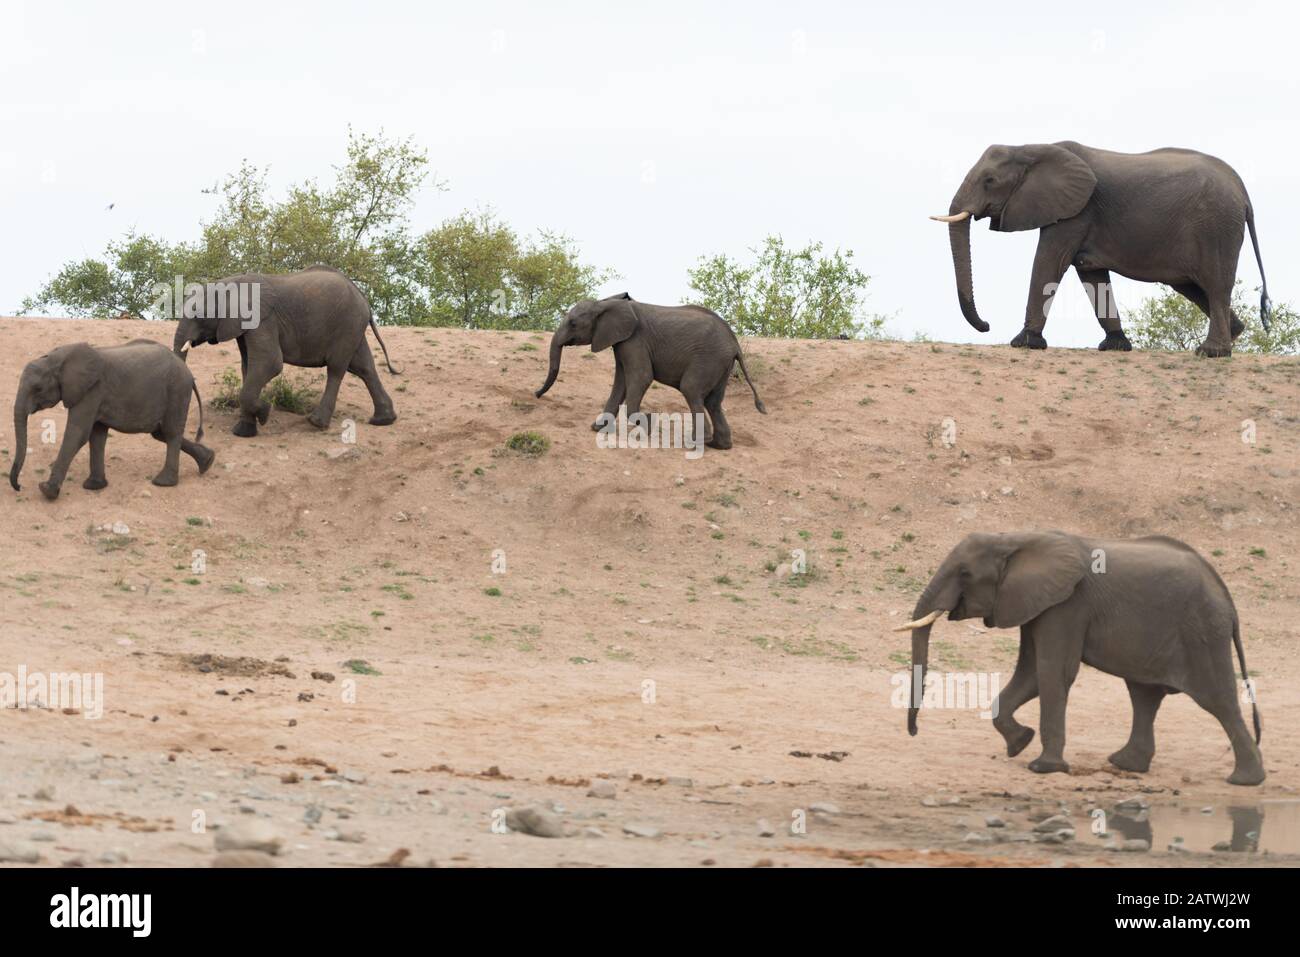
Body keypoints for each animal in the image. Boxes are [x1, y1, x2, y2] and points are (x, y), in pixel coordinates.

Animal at [10, 339, 215, 500]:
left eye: (37, 389)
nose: (19, 487)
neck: (57, 359)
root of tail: (189, 373)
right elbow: (96, 436)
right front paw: (94, 486)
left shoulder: (92, 390)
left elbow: (77, 434)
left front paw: (47, 491)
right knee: (160, 433)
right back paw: (207, 462)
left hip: (177, 390)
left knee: (171, 433)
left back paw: (163, 483)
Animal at [172, 265, 398, 436]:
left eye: (199, 314)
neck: (233, 283)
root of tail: (362, 295)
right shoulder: (243, 327)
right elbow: (248, 367)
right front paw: (243, 432)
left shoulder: (263, 320)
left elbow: (270, 363)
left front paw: (265, 412)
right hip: (354, 326)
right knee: (364, 367)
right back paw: (383, 420)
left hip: (347, 324)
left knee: (336, 368)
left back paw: (316, 423)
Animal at [533, 294, 767, 449]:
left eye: (573, 323)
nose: (536, 394)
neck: (605, 303)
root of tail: (735, 343)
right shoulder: (622, 342)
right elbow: (621, 383)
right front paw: (596, 428)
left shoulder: (635, 340)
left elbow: (641, 377)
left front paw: (648, 423)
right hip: (721, 365)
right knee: (713, 402)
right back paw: (719, 445)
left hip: (709, 358)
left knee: (691, 390)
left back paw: (695, 444)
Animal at [896, 531, 1265, 785]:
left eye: (964, 574)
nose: (913, 732)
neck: (1015, 539)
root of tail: (1225, 594)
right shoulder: (1037, 605)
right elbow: (1031, 674)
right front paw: (1019, 744)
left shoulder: (1068, 605)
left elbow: (1053, 673)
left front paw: (1042, 768)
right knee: (1144, 696)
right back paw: (1125, 764)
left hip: (1202, 632)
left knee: (1218, 700)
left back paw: (1245, 781)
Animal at [933, 142, 1273, 357]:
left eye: (990, 180)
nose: (986, 325)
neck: (1029, 147)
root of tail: (1243, 192)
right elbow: (1092, 275)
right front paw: (1115, 346)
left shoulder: (1076, 211)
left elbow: (1049, 261)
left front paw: (1023, 343)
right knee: (1192, 287)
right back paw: (1234, 334)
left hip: (1217, 227)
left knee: (1215, 284)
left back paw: (1211, 353)